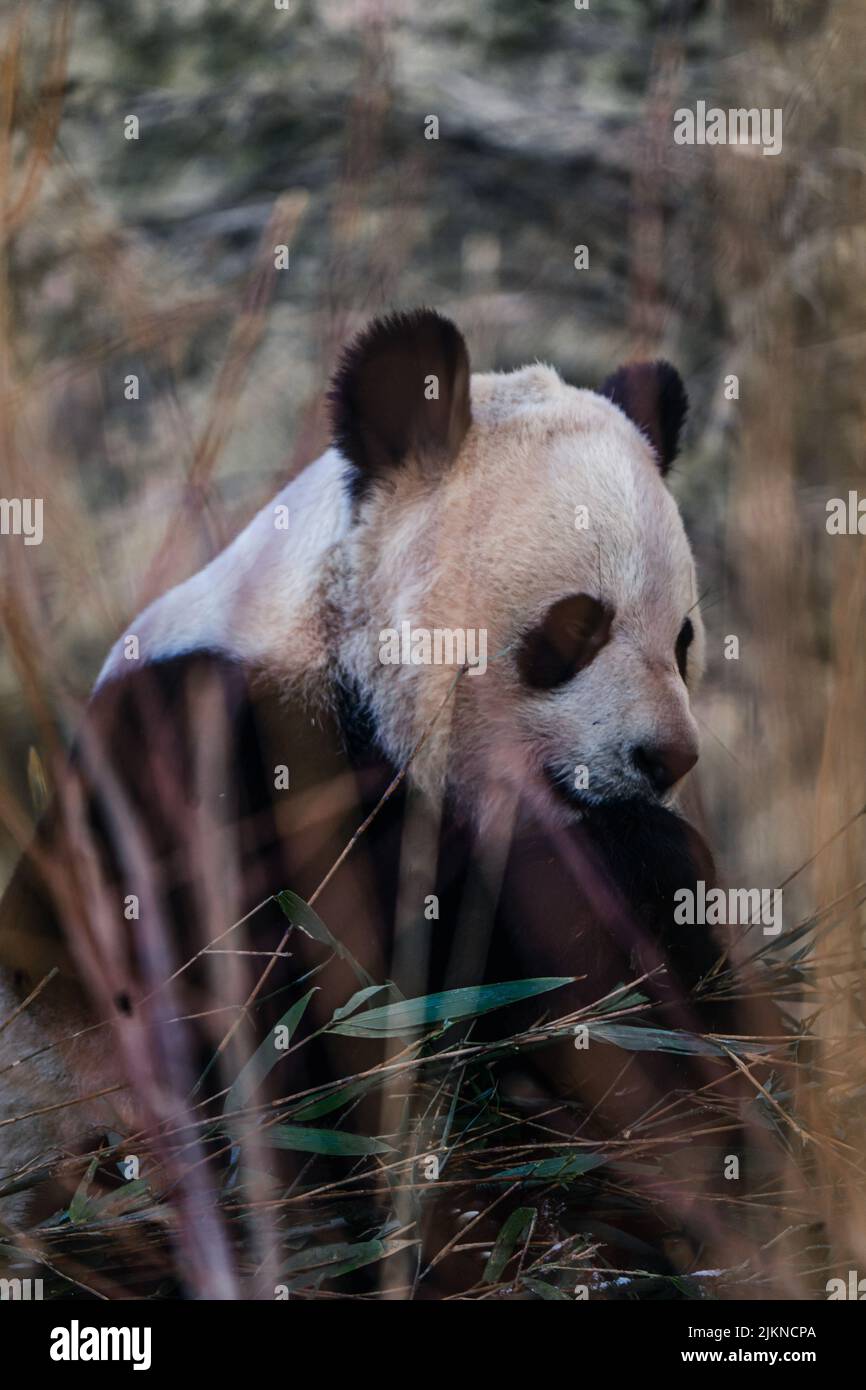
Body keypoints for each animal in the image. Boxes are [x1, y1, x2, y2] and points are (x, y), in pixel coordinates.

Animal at [0, 309, 764, 1286]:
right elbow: (308, 1038)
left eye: (683, 638)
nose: (664, 758)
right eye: (575, 628)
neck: (335, 651)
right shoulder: (203, 759)